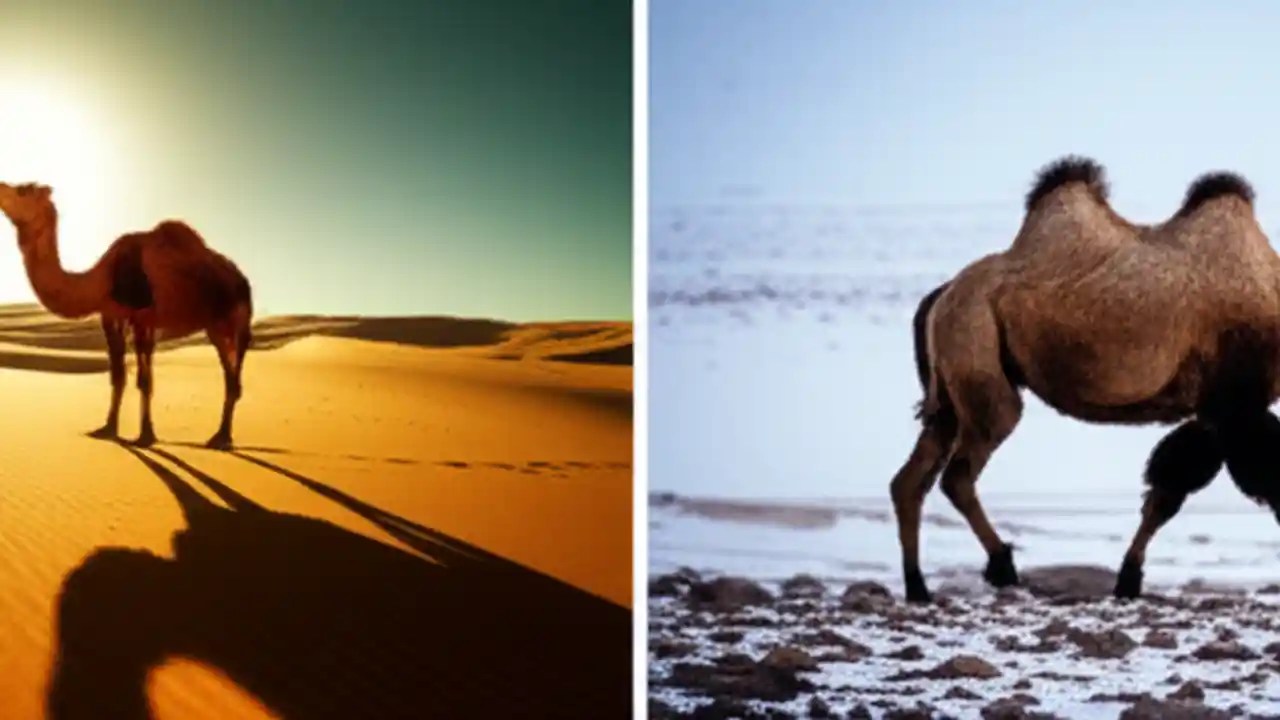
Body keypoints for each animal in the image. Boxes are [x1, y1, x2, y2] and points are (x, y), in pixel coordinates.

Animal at [0, 182, 253, 449]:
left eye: (23, 191)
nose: (1, 187)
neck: (103, 279)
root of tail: (242, 279)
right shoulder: (111, 315)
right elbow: (118, 375)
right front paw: (108, 428)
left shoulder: (143, 317)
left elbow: (143, 380)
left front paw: (145, 436)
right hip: (216, 327)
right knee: (230, 374)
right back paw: (221, 436)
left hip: (237, 318)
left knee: (234, 376)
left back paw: (221, 438)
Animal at [893, 156, 1280, 603]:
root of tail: (942, 294)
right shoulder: (1233, 403)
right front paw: (1127, 580)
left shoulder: (1215, 409)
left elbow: (1168, 489)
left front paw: (1128, 580)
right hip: (977, 347)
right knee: (960, 472)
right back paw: (1003, 567)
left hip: (950, 390)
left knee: (910, 479)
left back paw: (918, 587)